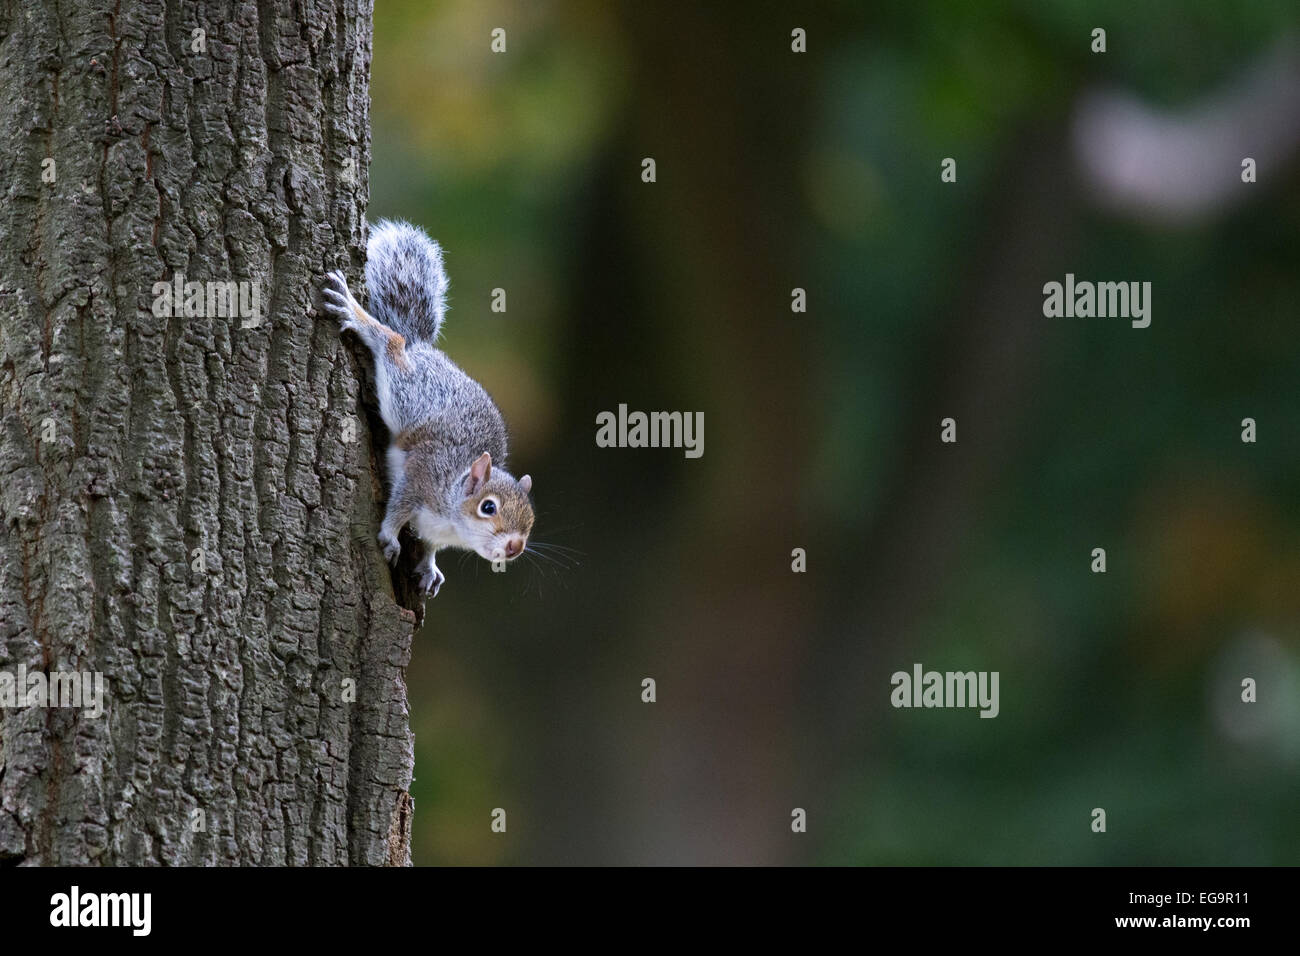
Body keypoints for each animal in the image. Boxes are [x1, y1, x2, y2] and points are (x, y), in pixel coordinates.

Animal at [322, 220, 534, 598]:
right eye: (488, 507)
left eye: (531, 518)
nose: (515, 547)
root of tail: (422, 347)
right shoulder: (420, 476)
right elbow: (397, 508)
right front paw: (390, 537)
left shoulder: (435, 530)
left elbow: (430, 546)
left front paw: (430, 567)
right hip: (409, 395)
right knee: (392, 345)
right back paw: (359, 317)